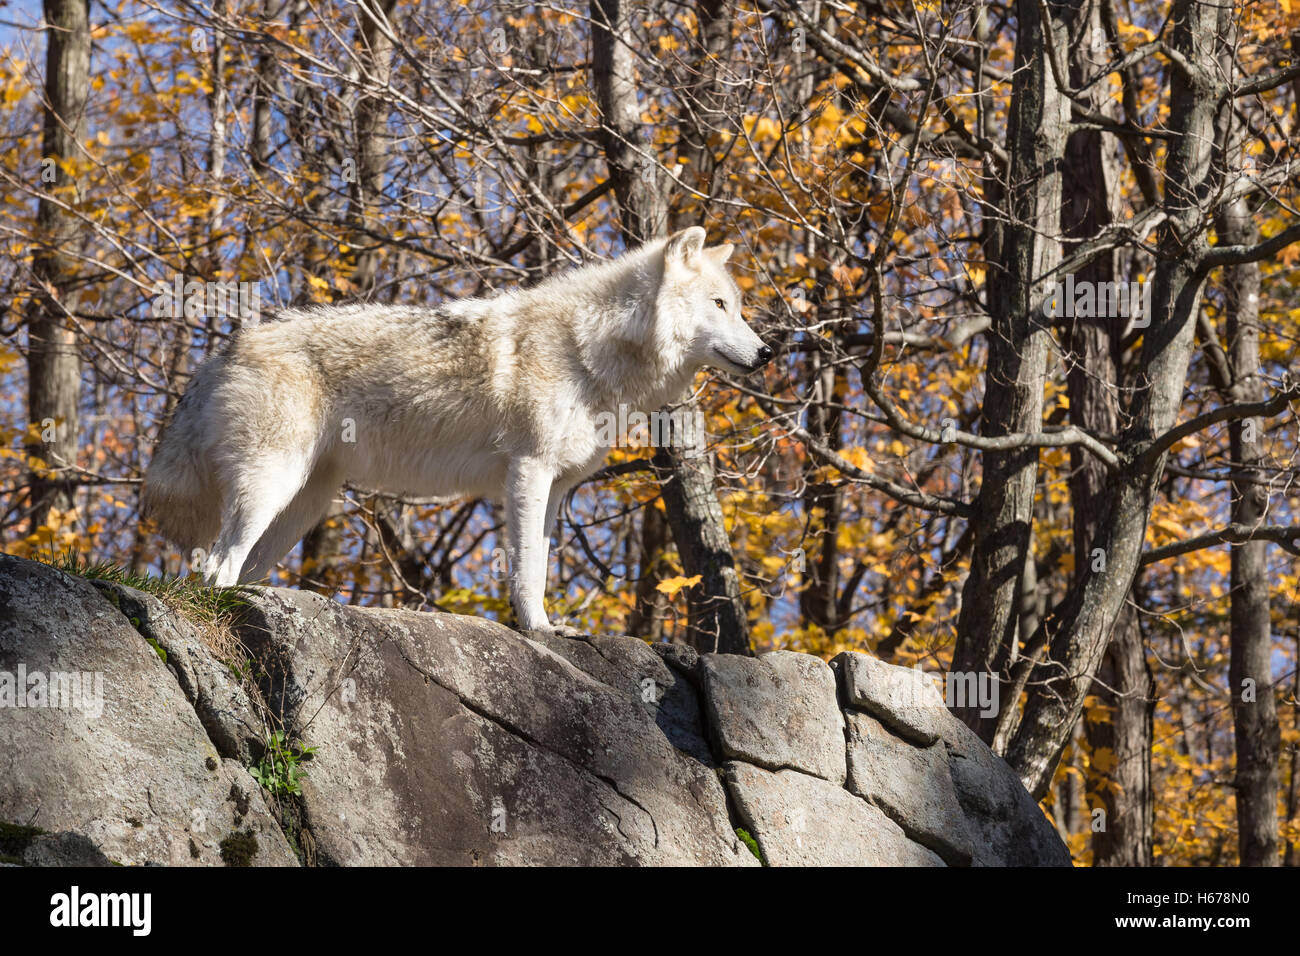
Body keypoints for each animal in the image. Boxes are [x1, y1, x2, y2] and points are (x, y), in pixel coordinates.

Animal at [142, 226, 772, 636]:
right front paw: (539, 630)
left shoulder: (555, 488)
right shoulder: (528, 472)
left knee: (233, 567)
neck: (590, 348)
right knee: (213, 566)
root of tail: (225, 349)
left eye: (738, 307)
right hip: (271, 485)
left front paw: (547, 625)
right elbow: (526, 569)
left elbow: (539, 564)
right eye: (720, 304)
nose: (768, 352)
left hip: (302, 505)